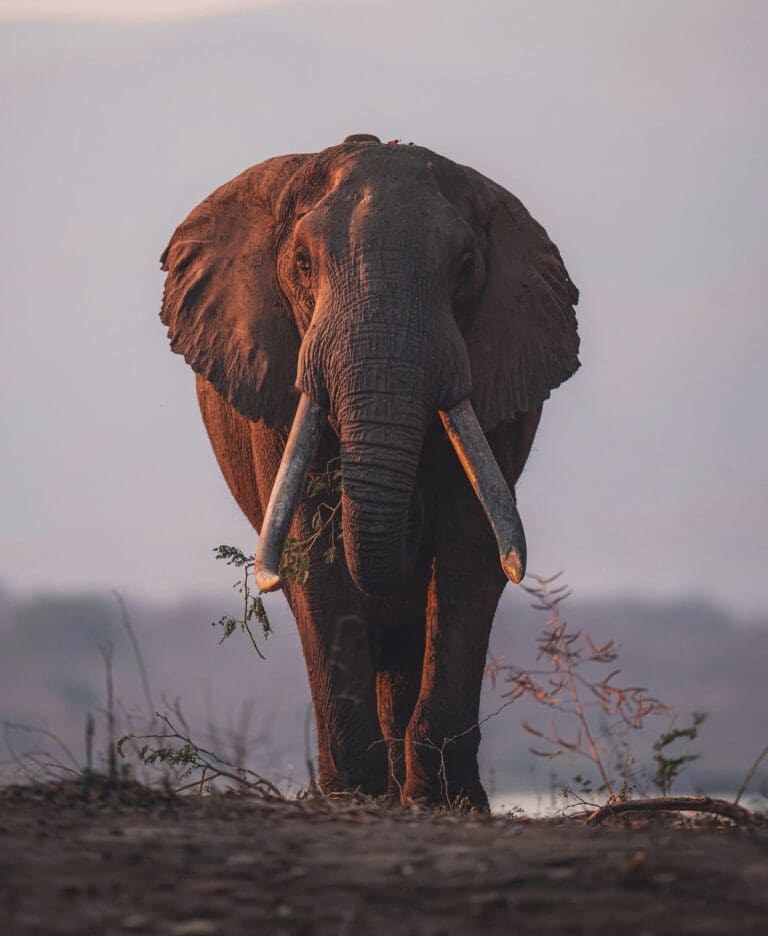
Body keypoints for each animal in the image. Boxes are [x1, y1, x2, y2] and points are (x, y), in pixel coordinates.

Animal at [159, 134, 580, 809]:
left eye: (466, 268)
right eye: (302, 263)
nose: (411, 514)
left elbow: (469, 547)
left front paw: (449, 802)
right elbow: (310, 550)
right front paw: (352, 798)